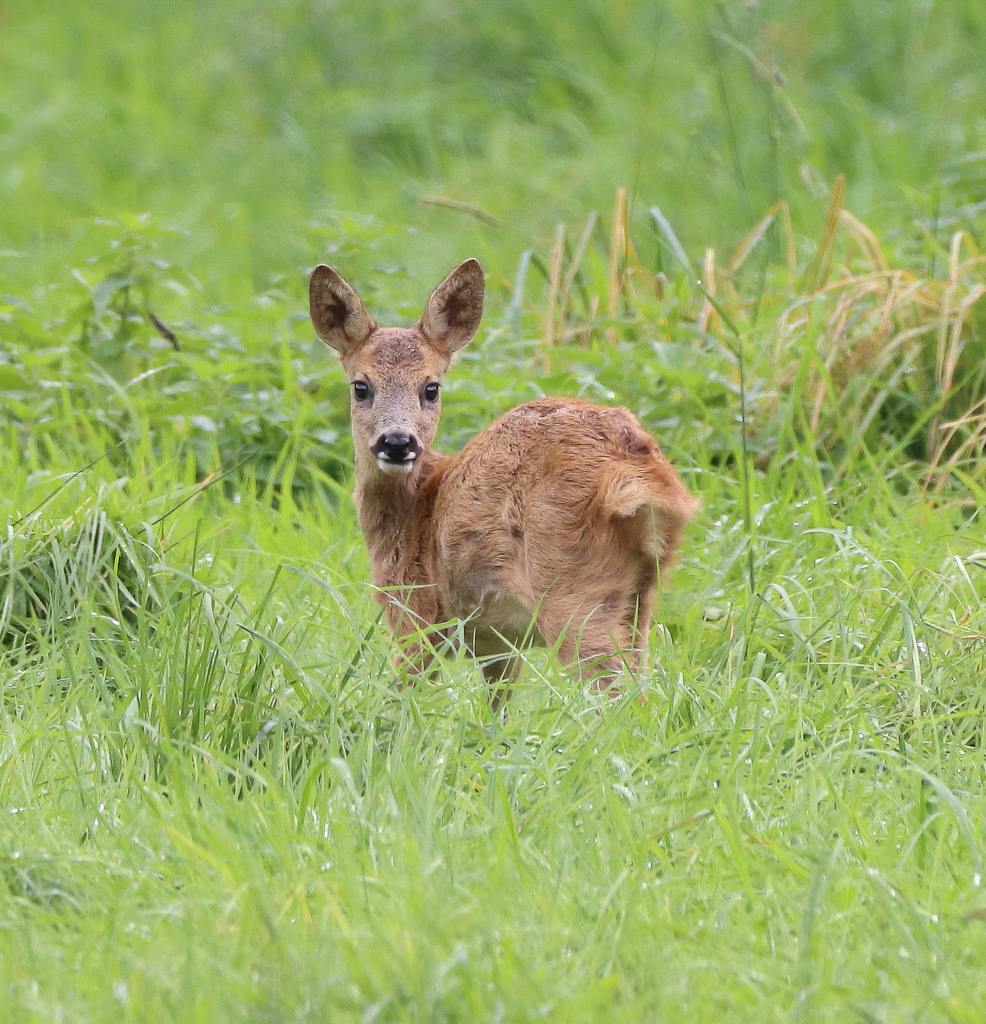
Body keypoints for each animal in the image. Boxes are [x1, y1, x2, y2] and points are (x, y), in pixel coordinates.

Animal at [309, 258, 698, 710]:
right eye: (361, 387)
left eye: (431, 388)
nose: (397, 442)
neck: (415, 510)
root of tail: (640, 475)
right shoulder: (497, 642)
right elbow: (499, 705)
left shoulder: (415, 611)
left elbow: (405, 696)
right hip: (642, 595)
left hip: (569, 586)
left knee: (613, 690)